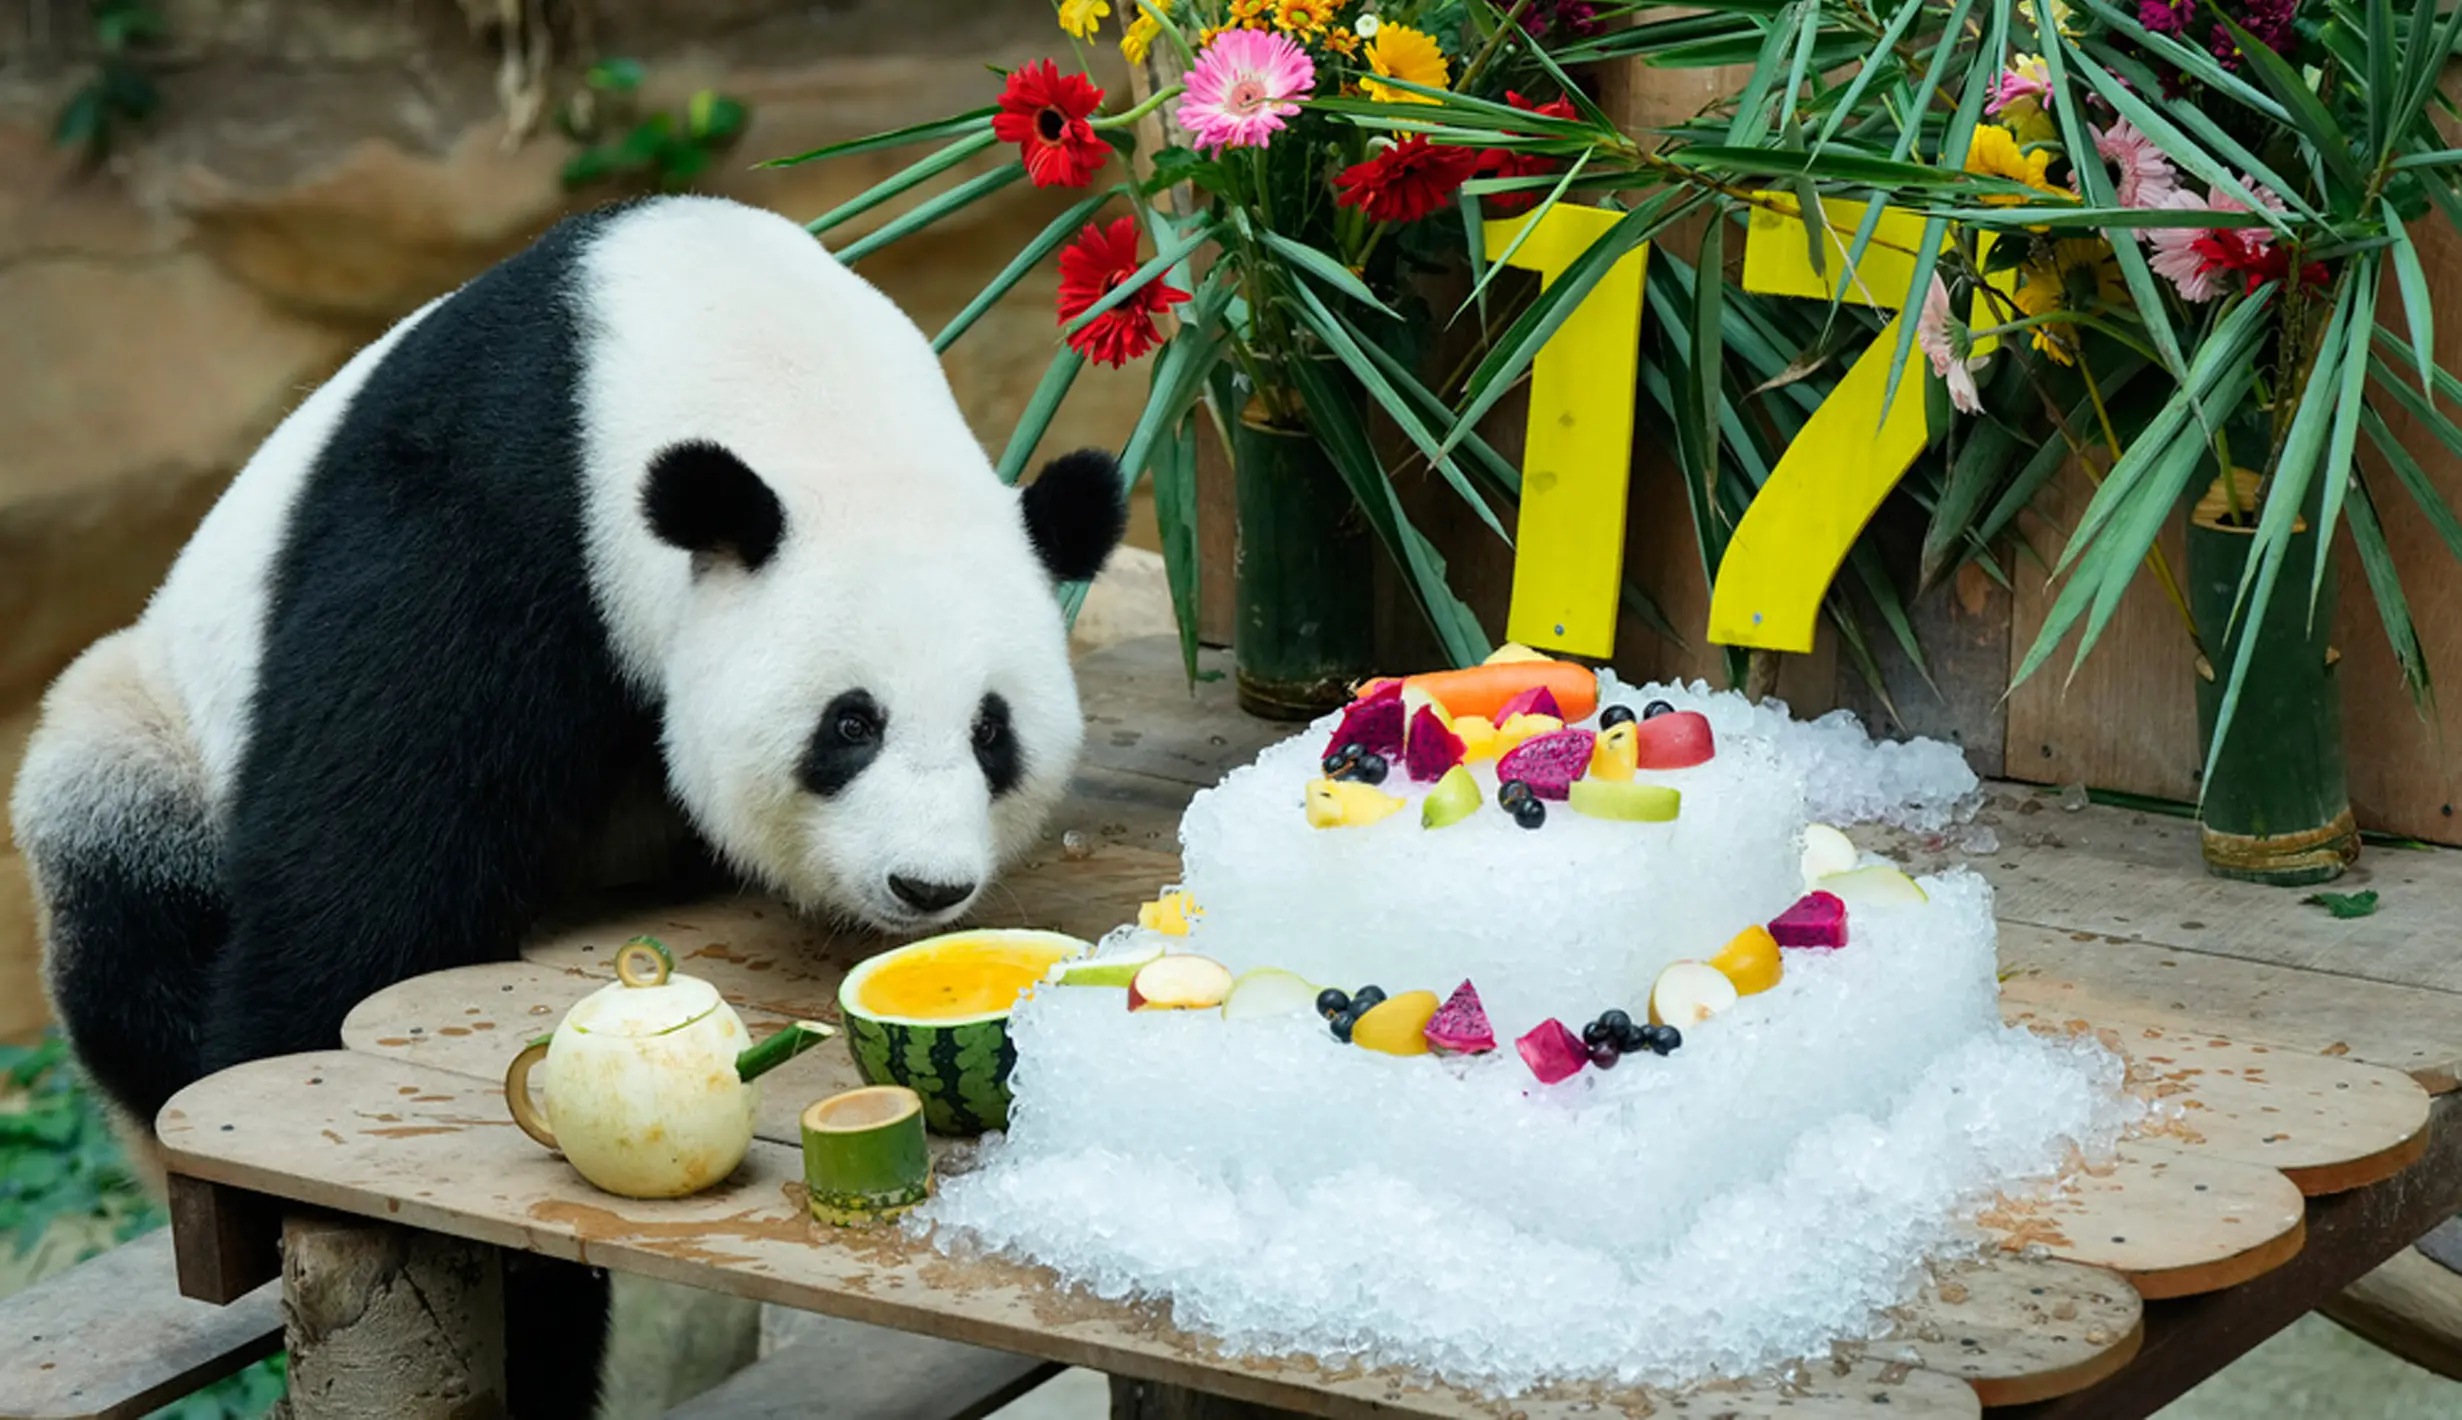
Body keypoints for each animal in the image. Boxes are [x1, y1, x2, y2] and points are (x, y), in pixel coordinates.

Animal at [9, 193, 1128, 1415]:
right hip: (139, 736)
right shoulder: (494, 506)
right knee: (124, 901)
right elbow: (366, 869)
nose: (924, 884)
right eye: (850, 724)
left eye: (991, 732)